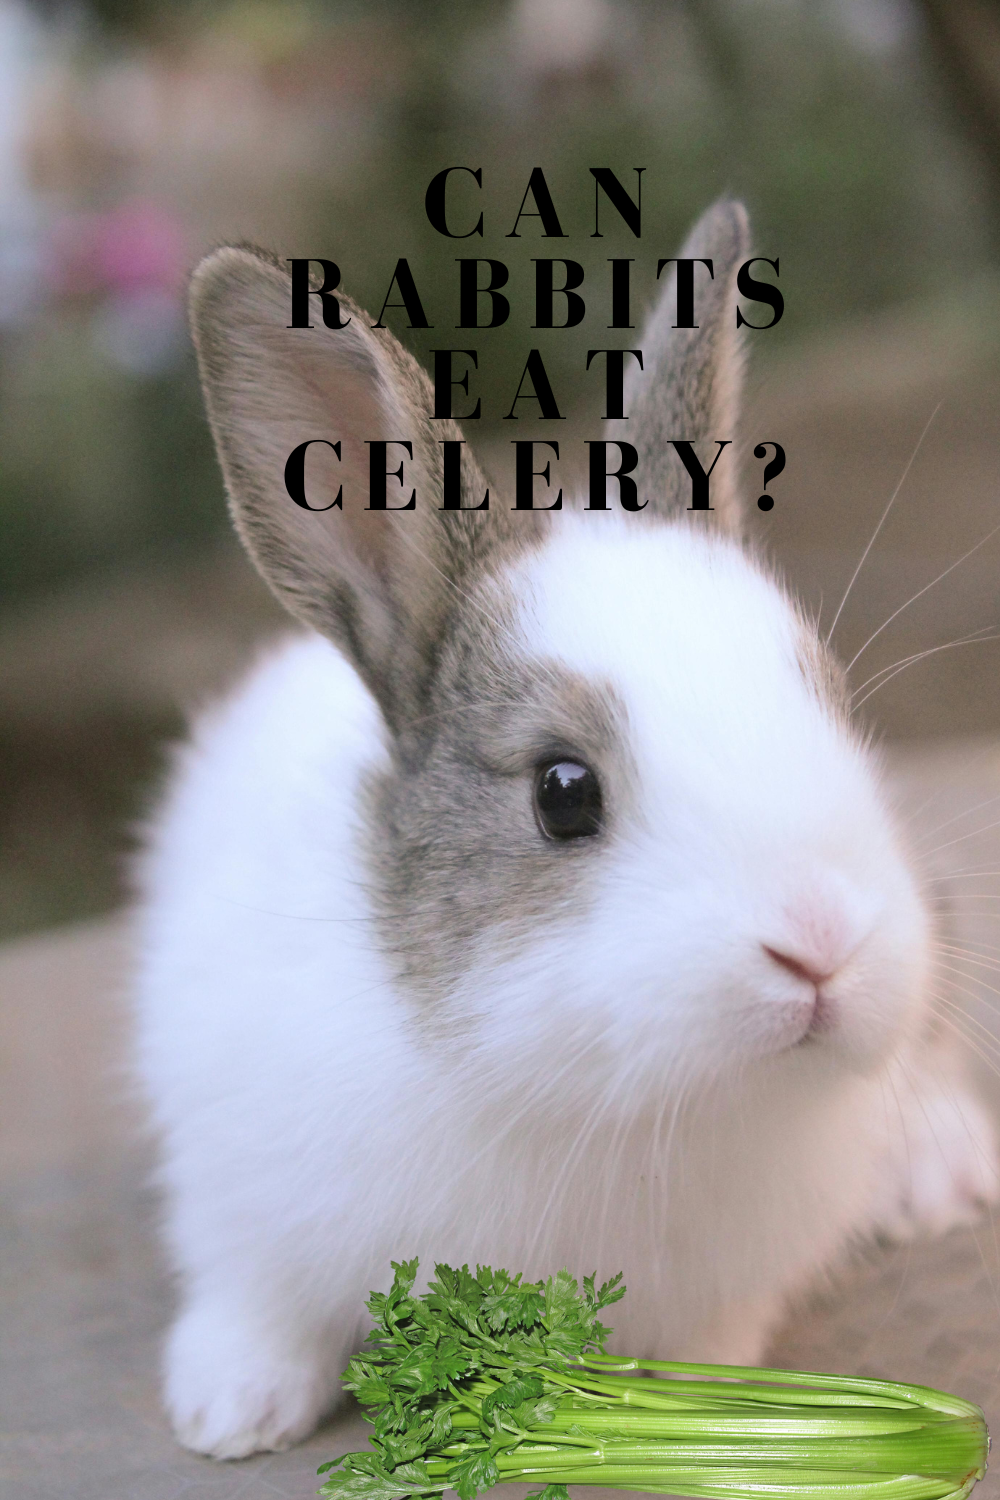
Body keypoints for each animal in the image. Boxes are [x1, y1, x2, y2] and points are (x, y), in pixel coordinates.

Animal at [134, 200, 1000, 1461]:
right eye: (561, 791)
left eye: (832, 707)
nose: (822, 946)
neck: (580, 1092)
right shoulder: (236, 1194)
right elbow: (259, 1304)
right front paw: (228, 1412)